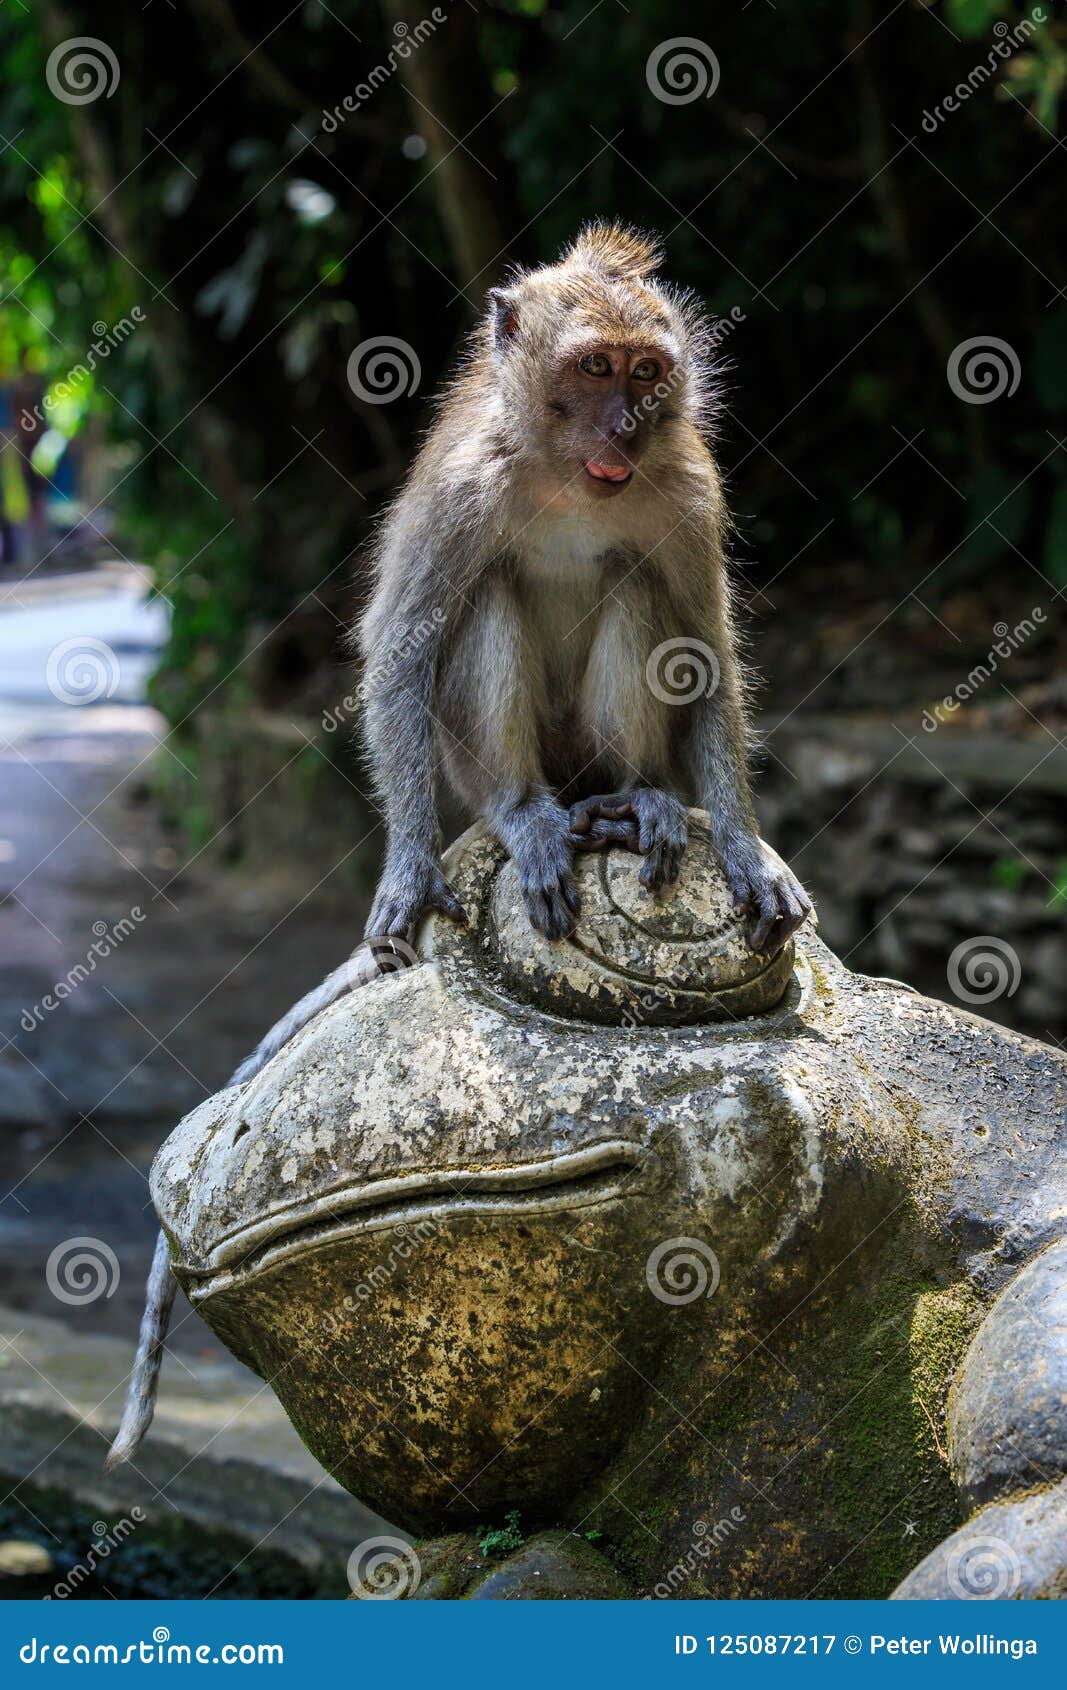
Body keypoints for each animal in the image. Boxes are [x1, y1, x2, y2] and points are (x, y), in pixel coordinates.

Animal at [106, 222, 810, 1471]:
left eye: (644, 372)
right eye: (590, 369)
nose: (623, 428)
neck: (566, 472)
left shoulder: (685, 491)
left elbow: (703, 648)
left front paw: (743, 843)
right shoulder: (459, 487)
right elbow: (401, 644)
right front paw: (404, 870)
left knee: (636, 604)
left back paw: (633, 804)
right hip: (474, 769)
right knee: (485, 610)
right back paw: (531, 816)